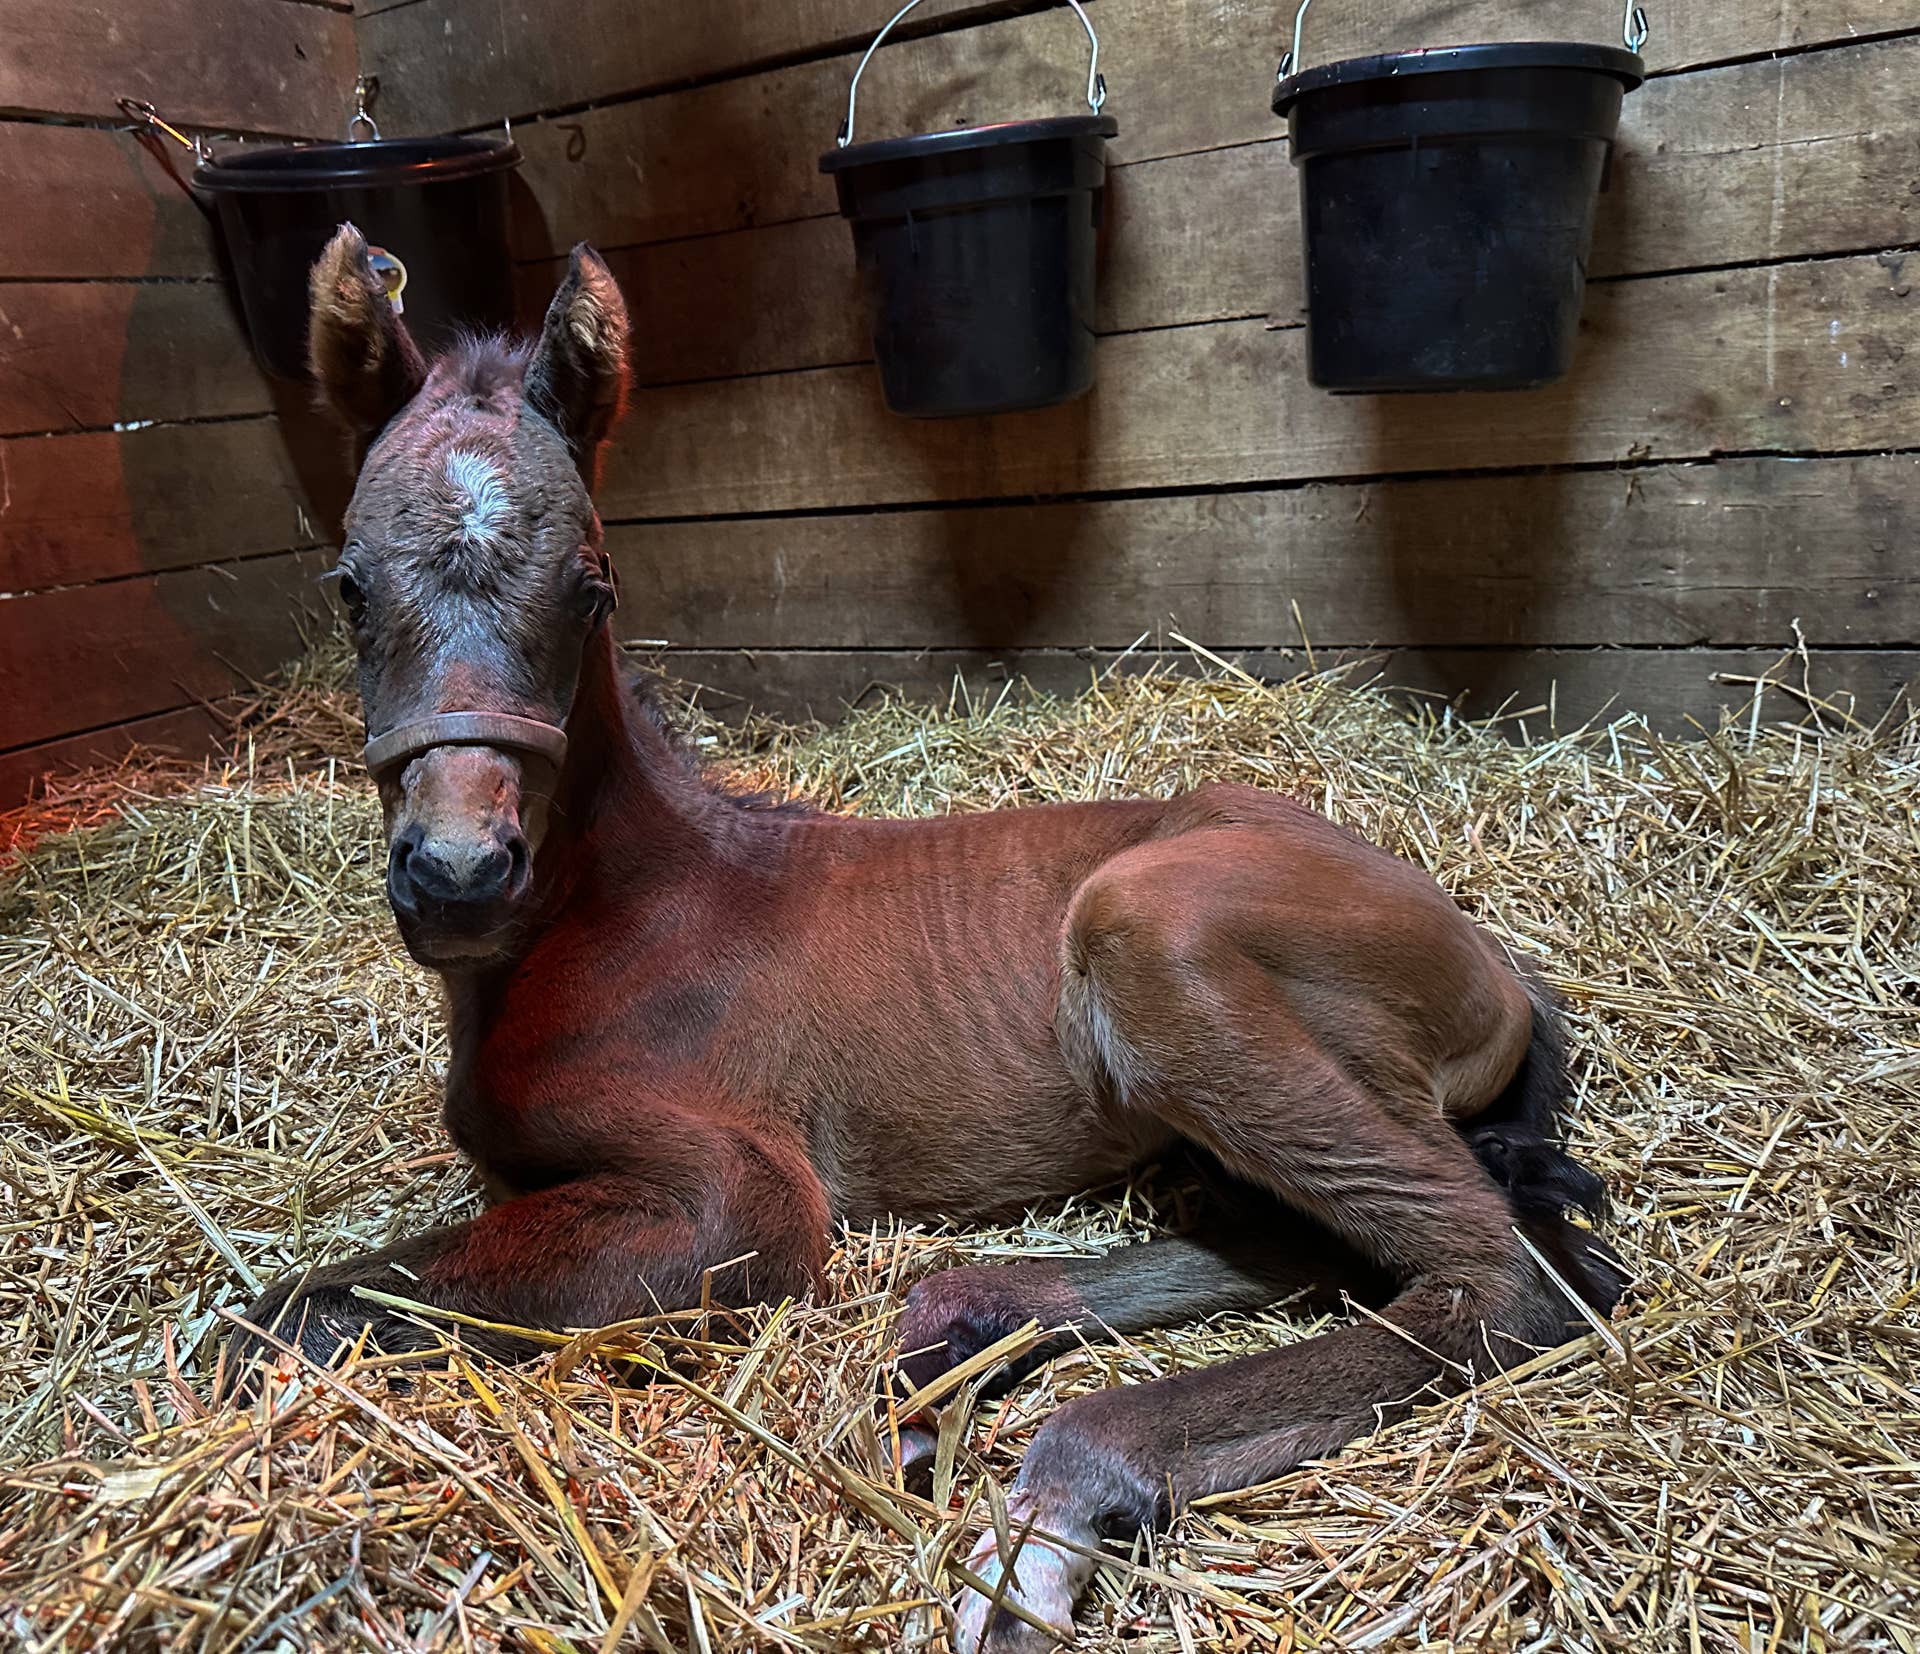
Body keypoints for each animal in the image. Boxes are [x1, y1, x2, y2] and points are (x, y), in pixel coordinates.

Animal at [236, 223, 1628, 1651]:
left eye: (590, 587)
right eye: (349, 588)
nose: (459, 874)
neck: (617, 919)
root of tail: (1498, 962)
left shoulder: (738, 1198)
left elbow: (290, 1312)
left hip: (1152, 936)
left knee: (1499, 1275)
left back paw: (1058, 1499)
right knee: (1307, 1242)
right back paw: (964, 1334)